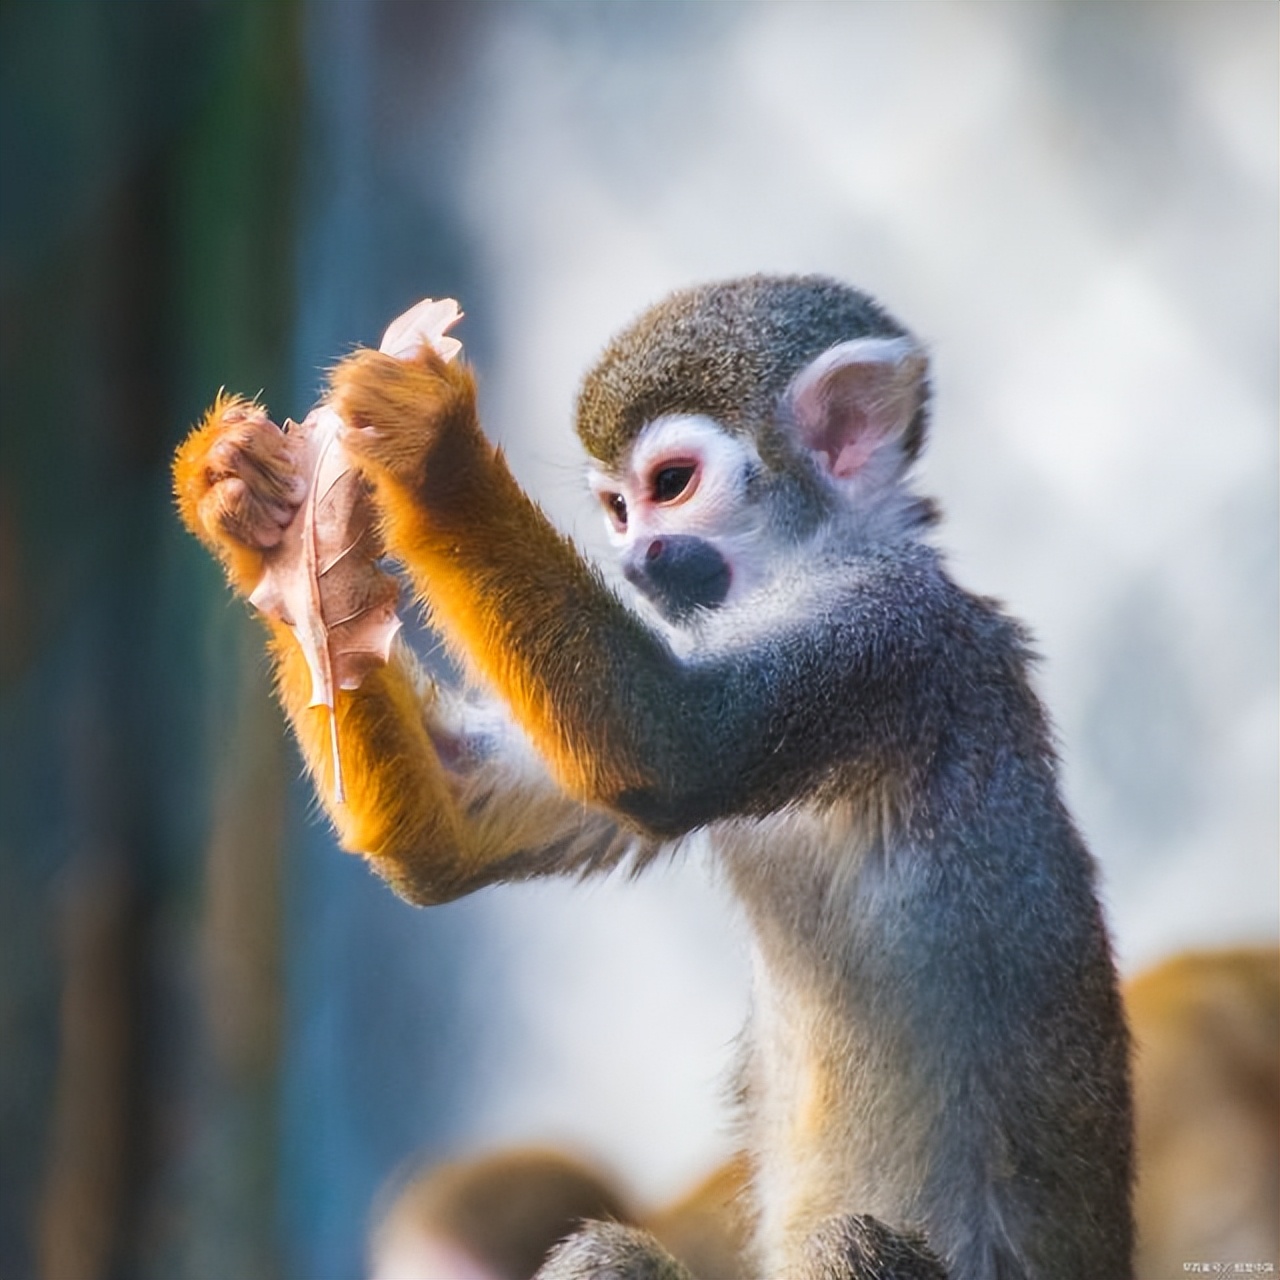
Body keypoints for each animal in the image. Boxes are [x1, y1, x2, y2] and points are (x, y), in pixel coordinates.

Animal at [173, 275, 1134, 1278]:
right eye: (617, 509)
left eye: (671, 486)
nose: (634, 560)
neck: (818, 556)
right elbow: (450, 834)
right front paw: (243, 502)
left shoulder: (886, 631)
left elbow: (672, 744)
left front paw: (430, 447)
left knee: (844, 1242)